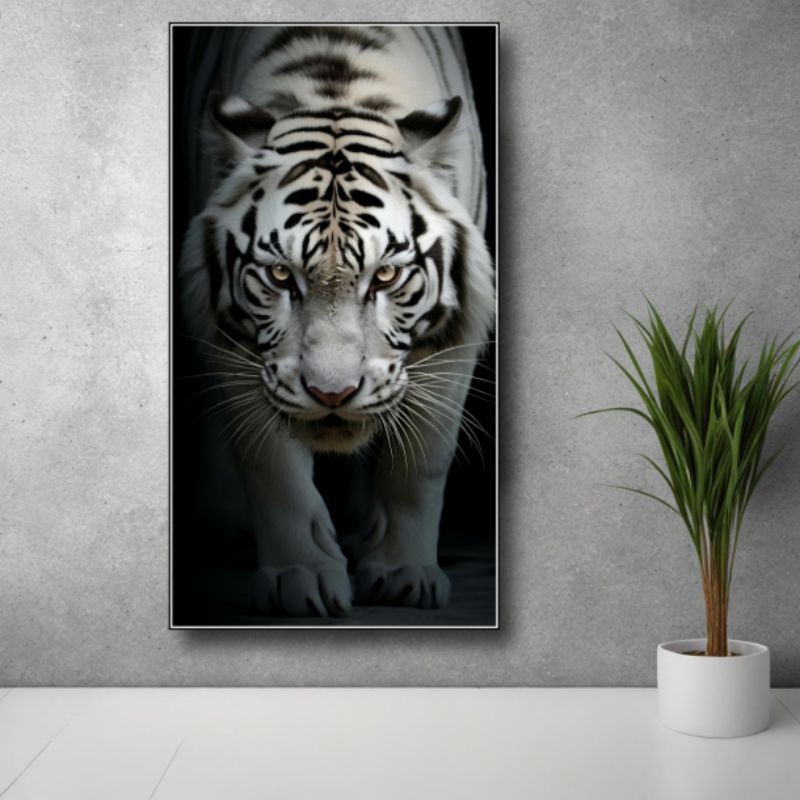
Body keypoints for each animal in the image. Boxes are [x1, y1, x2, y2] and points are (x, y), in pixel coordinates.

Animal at [176, 25, 495, 618]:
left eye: (386, 275)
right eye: (280, 274)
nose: (333, 394)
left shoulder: (453, 341)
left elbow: (423, 461)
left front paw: (404, 572)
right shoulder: (238, 345)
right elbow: (270, 465)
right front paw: (299, 576)